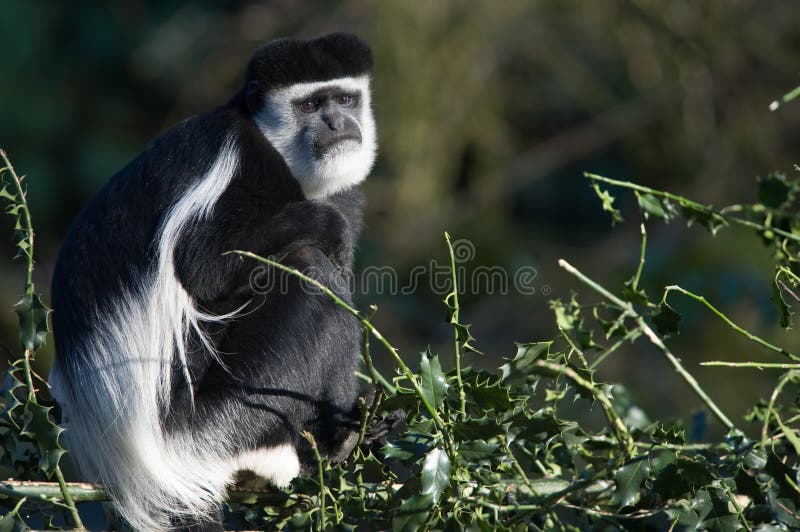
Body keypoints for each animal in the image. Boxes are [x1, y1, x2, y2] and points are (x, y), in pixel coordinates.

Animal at [48, 33, 376, 531]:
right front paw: (324, 223)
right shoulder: (237, 160)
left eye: (344, 99)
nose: (338, 122)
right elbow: (204, 267)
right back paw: (329, 443)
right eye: (310, 105)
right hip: (219, 418)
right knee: (309, 272)